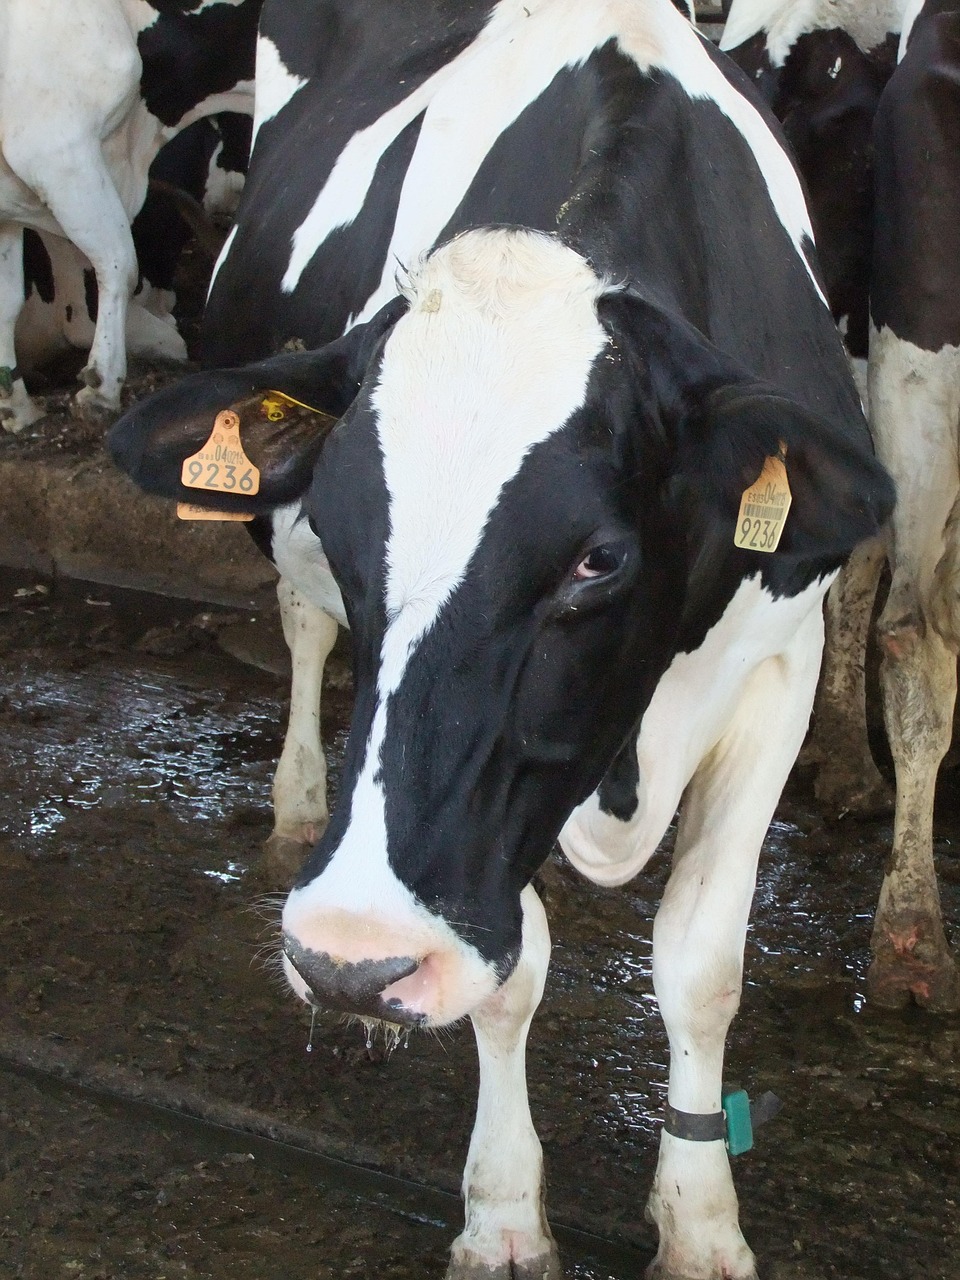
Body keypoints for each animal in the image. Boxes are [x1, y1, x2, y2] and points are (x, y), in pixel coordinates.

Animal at [108, 1, 894, 1275]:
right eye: (347, 520)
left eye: (597, 559)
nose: (348, 953)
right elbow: (511, 970)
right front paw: (505, 1208)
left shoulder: (784, 657)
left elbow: (702, 963)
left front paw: (700, 1216)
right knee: (304, 635)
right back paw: (295, 807)